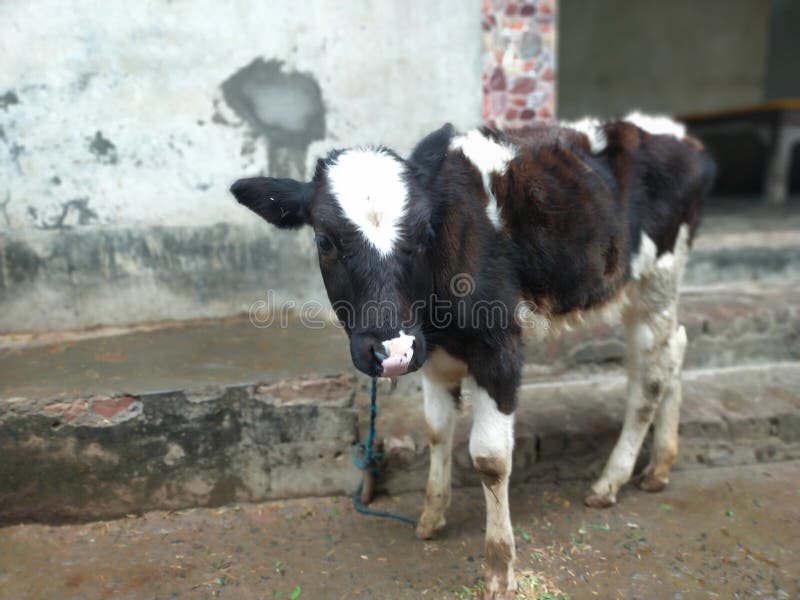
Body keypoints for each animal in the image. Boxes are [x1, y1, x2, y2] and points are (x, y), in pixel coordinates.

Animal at [230, 113, 715, 599]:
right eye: (325, 241)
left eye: (425, 232)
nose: (392, 351)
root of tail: (672, 132)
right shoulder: (430, 352)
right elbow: (437, 431)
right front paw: (431, 516)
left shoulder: (499, 350)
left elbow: (490, 458)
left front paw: (499, 569)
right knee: (674, 351)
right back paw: (659, 466)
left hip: (657, 279)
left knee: (651, 377)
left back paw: (610, 481)